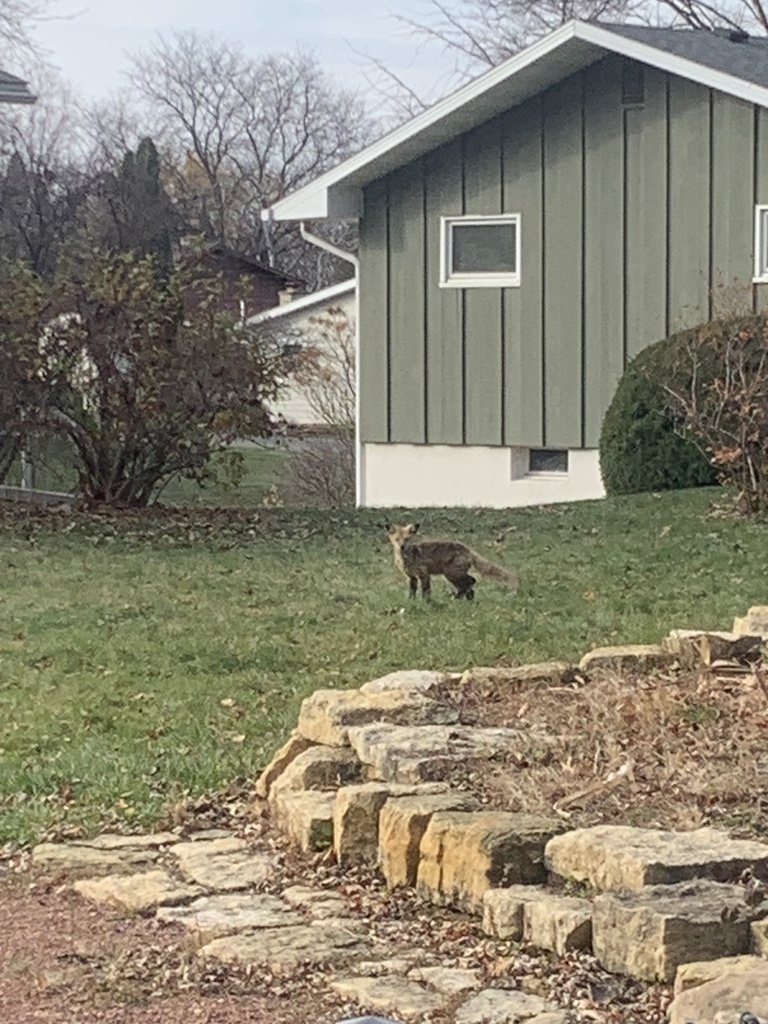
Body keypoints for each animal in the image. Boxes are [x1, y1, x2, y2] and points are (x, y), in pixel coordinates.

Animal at [385, 522, 519, 601]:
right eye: (397, 539)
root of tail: (468, 549)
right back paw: (467, 600)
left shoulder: (424, 574)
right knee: (469, 585)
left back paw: (457, 599)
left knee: (470, 581)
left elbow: (426, 591)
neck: (407, 559)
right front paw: (411, 601)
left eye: (406, 539)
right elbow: (412, 592)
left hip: (451, 574)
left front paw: (426, 603)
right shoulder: (411, 577)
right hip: (454, 576)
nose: (402, 546)